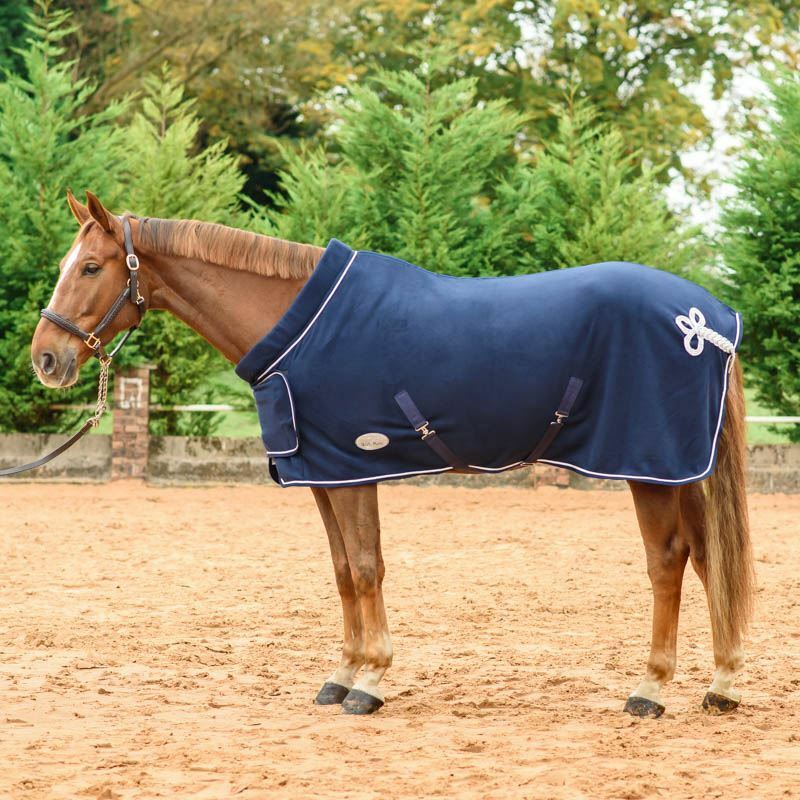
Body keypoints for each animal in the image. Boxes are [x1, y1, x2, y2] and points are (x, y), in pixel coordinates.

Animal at [29, 191, 755, 716]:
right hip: (679, 468)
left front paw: (370, 682)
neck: (304, 327)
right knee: (707, 558)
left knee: (669, 561)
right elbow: (342, 571)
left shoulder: (354, 470)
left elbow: (366, 567)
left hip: (649, 468)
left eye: (90, 267)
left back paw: (651, 689)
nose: (47, 358)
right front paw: (342, 673)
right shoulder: (323, 473)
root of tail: (707, 320)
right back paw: (721, 684)